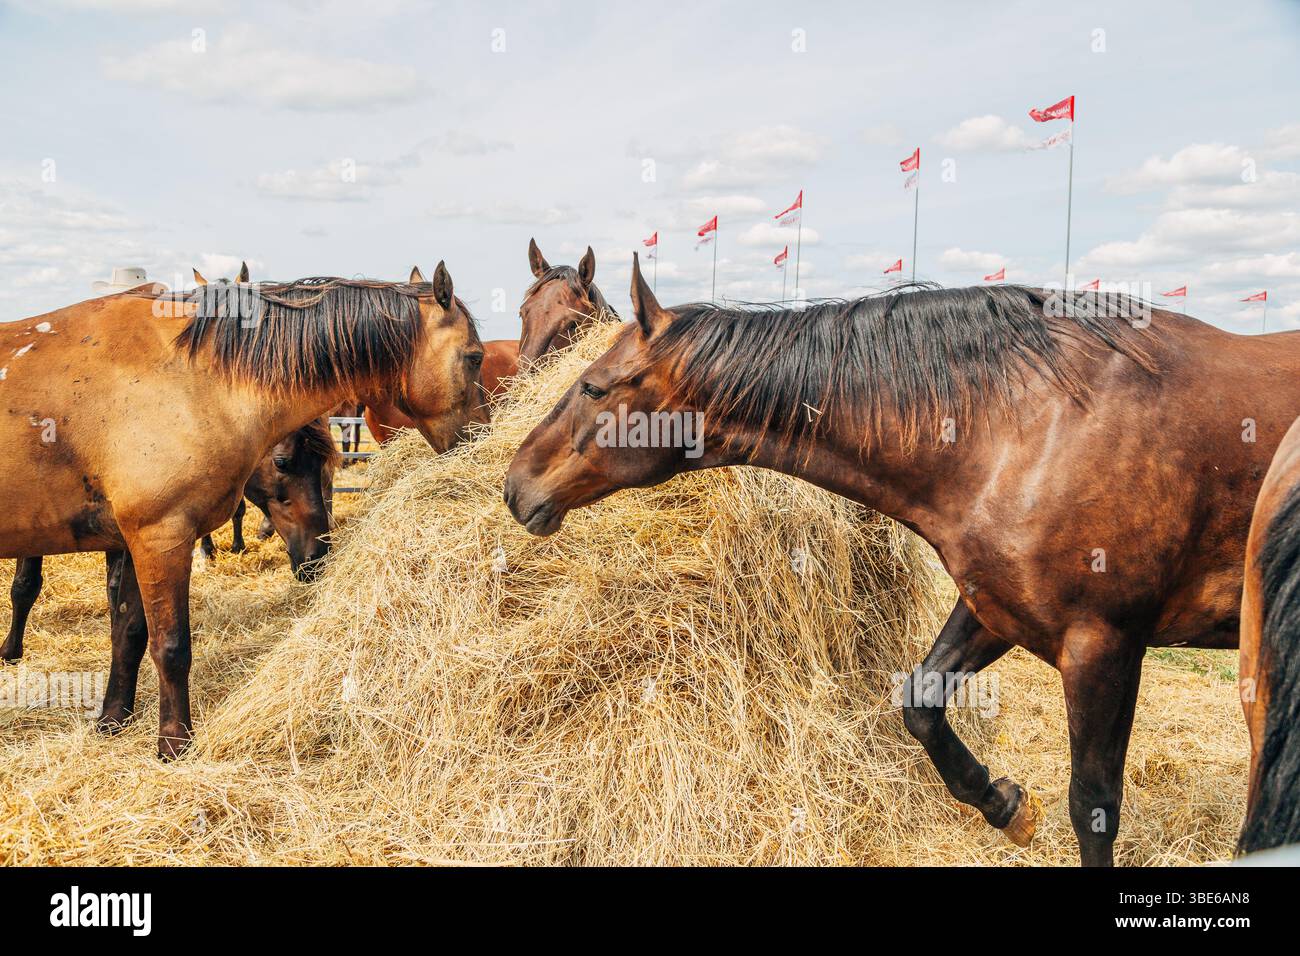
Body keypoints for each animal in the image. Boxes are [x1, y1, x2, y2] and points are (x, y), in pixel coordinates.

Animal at [0, 263, 484, 758]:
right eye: (475, 358)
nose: (316, 559)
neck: (190, 377)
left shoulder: (135, 540)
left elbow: (129, 633)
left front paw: (113, 719)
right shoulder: (161, 536)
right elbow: (171, 646)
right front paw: (174, 743)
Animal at [505, 254, 1300, 866]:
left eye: (593, 386)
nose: (515, 486)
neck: (1025, 423)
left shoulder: (1102, 645)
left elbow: (1094, 805)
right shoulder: (996, 611)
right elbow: (920, 704)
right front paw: (1005, 804)